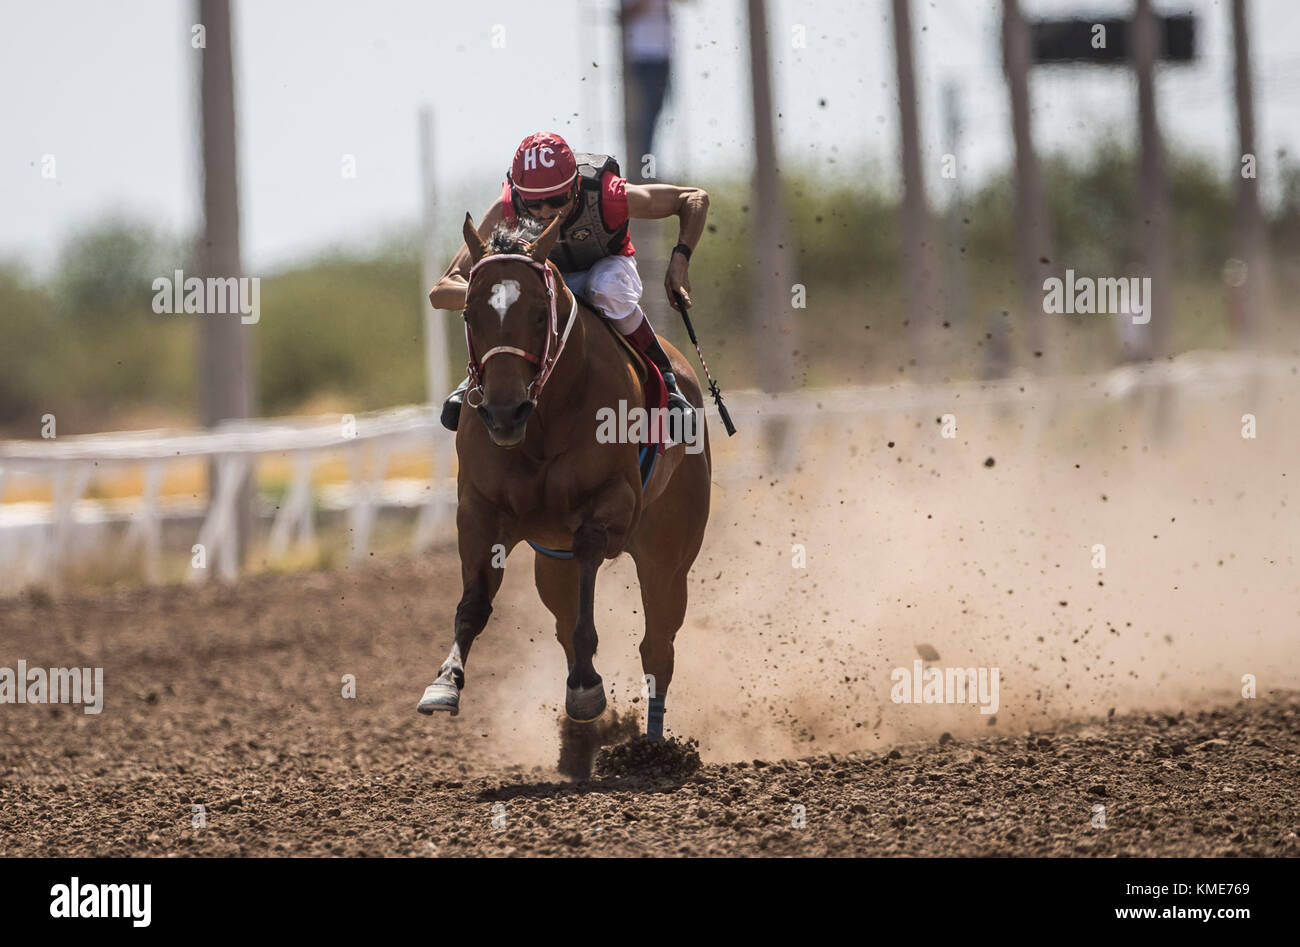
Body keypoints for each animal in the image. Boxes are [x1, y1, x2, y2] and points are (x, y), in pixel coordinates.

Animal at [417, 211, 711, 745]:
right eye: (469, 315)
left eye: (539, 314)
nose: (504, 412)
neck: (543, 421)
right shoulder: (480, 510)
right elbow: (474, 601)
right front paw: (444, 683)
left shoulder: (610, 504)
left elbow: (590, 579)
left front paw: (587, 687)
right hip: (550, 562)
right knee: (564, 616)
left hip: (669, 550)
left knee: (658, 641)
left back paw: (653, 742)